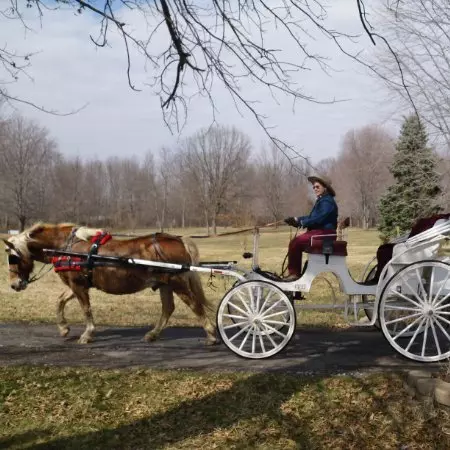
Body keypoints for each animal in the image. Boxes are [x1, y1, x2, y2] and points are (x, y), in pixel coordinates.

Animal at [3, 223, 218, 346]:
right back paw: (152, 334)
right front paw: (64, 328)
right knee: (168, 309)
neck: (66, 247)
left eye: (14, 258)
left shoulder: (78, 286)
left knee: (194, 305)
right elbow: (60, 301)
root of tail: (177, 240)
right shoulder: (76, 284)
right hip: (165, 284)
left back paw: (211, 334)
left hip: (177, 282)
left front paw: (87, 334)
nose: (14, 284)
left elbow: (86, 309)